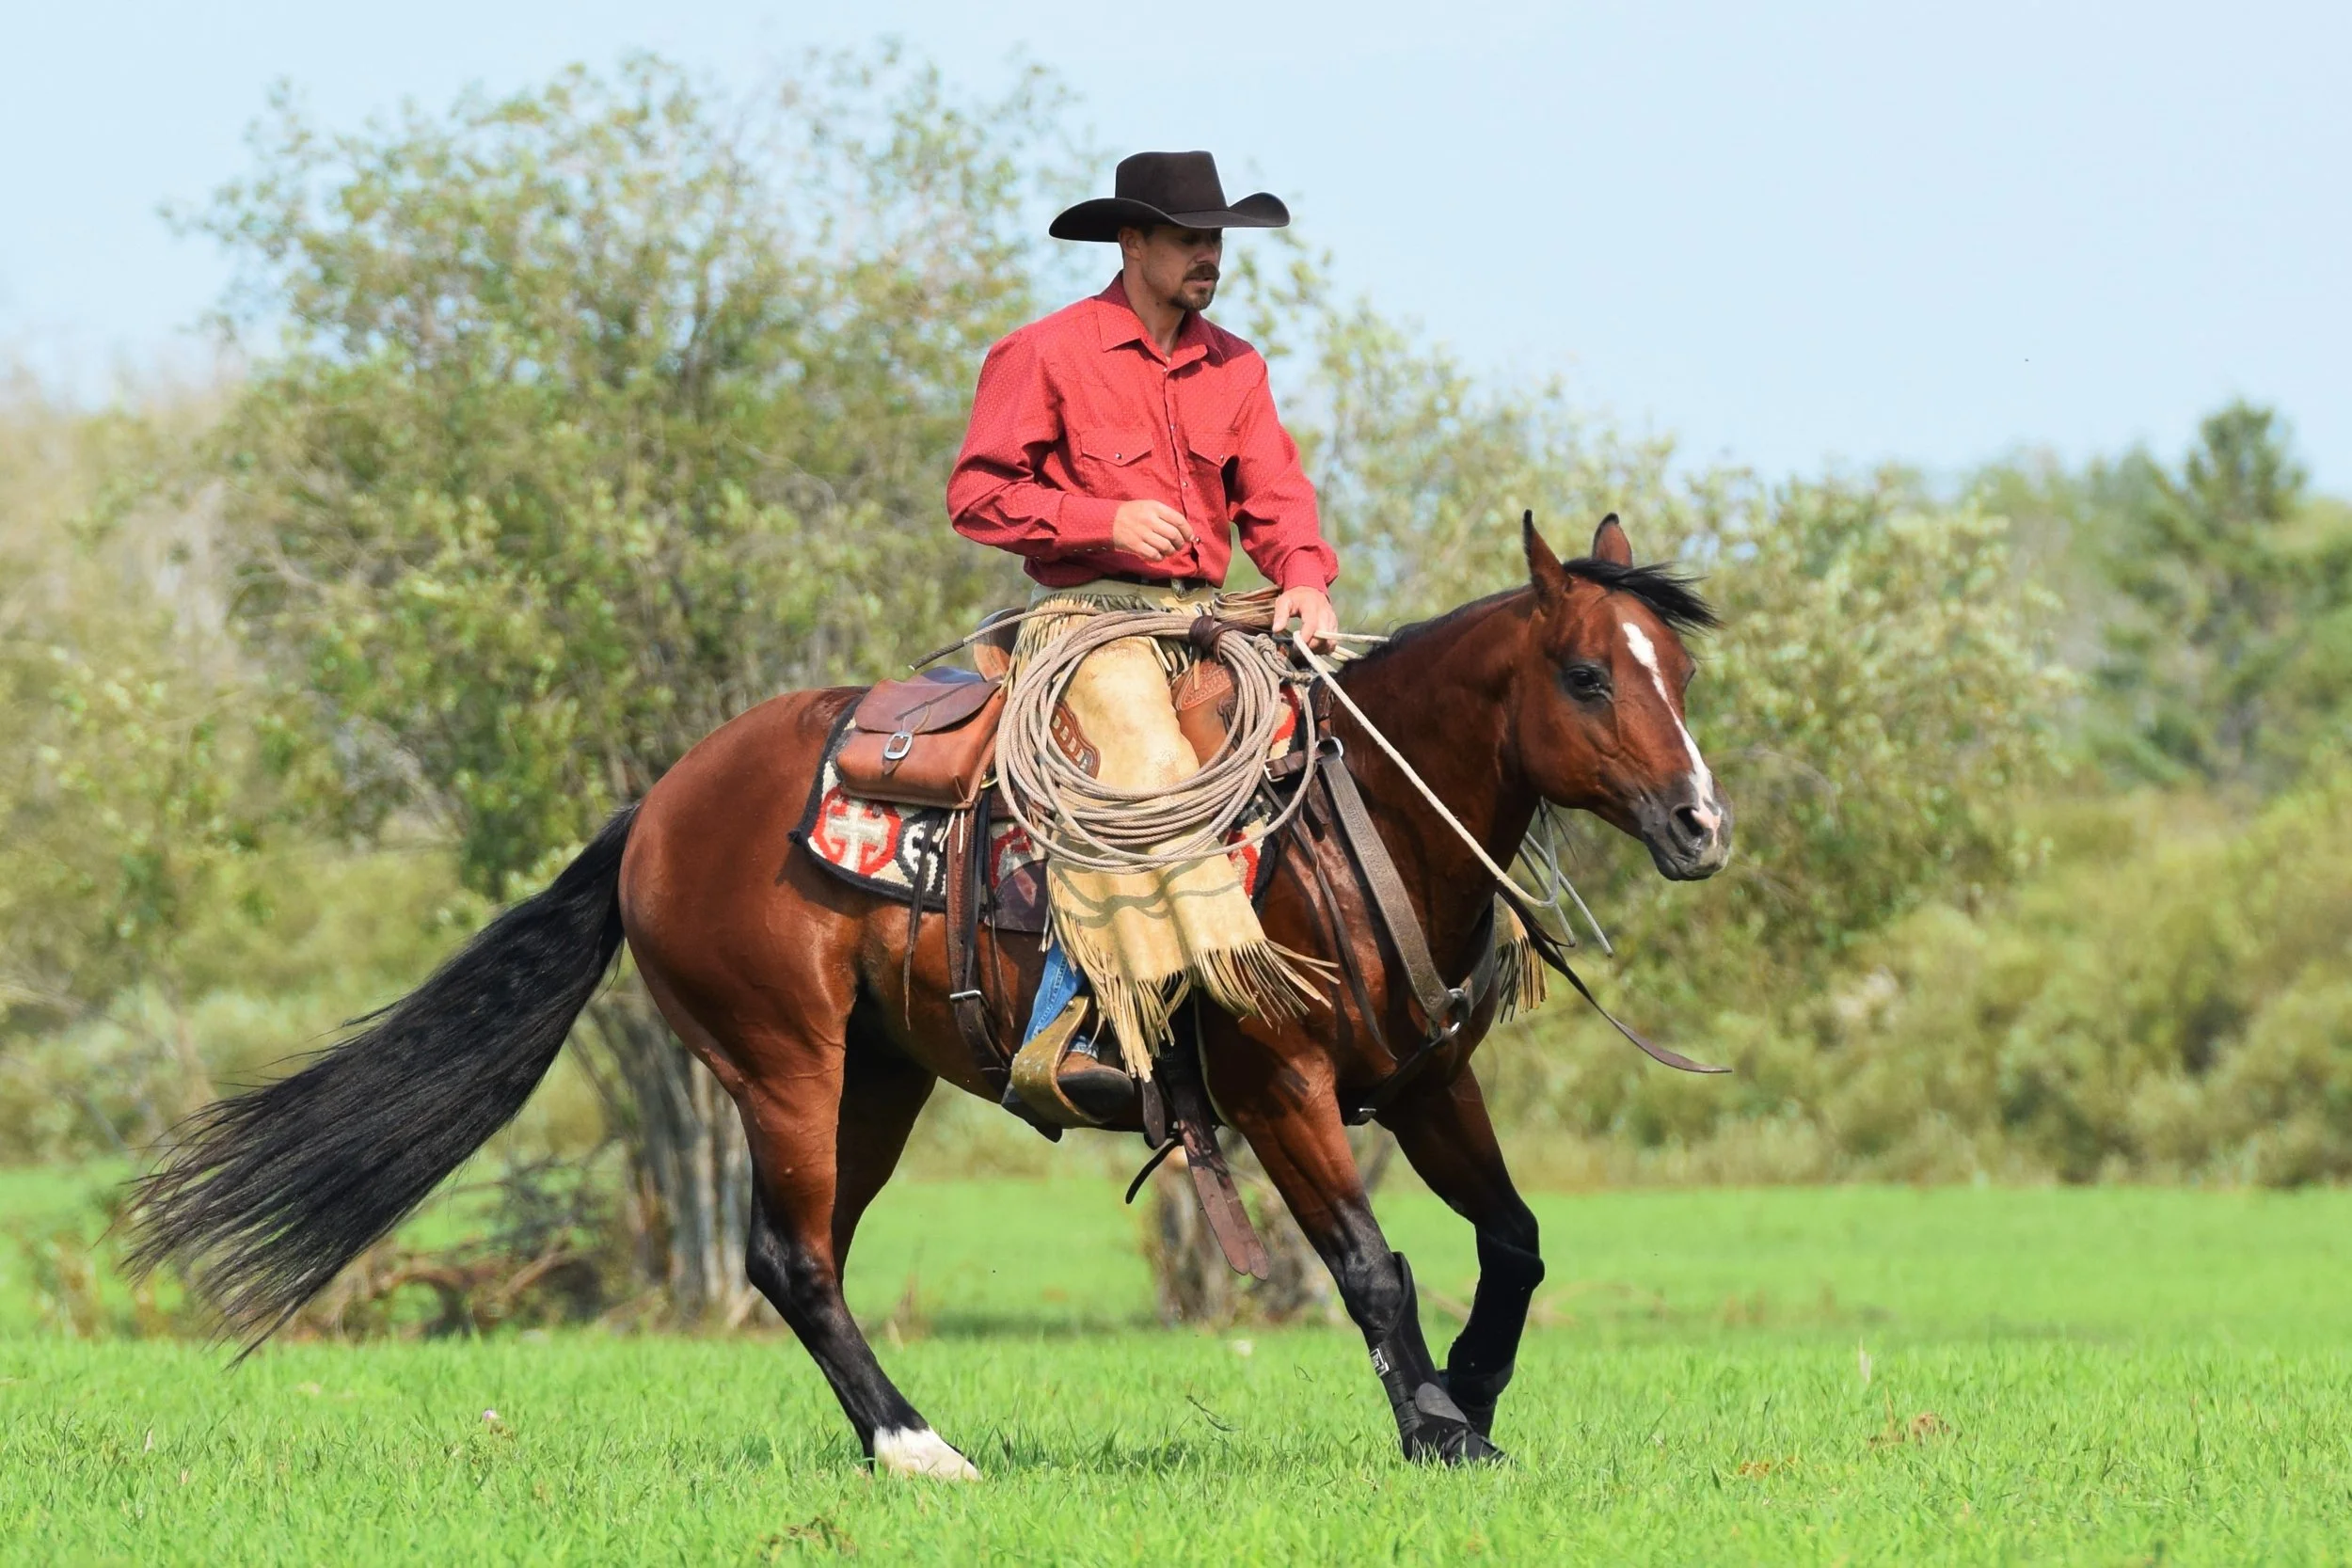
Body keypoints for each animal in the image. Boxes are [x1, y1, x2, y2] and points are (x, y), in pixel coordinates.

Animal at [128, 512, 1729, 1479]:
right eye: (1589, 674)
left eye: (1678, 670)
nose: (1701, 823)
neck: (1351, 828)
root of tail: (659, 804)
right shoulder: (1281, 1087)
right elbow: (1372, 1263)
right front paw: (1438, 1427)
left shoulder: (1427, 1076)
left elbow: (1513, 1242)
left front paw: (1474, 1388)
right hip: (783, 1062)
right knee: (790, 1255)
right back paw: (917, 1447)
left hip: (881, 1078)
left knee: (812, 1252)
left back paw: (892, 1437)